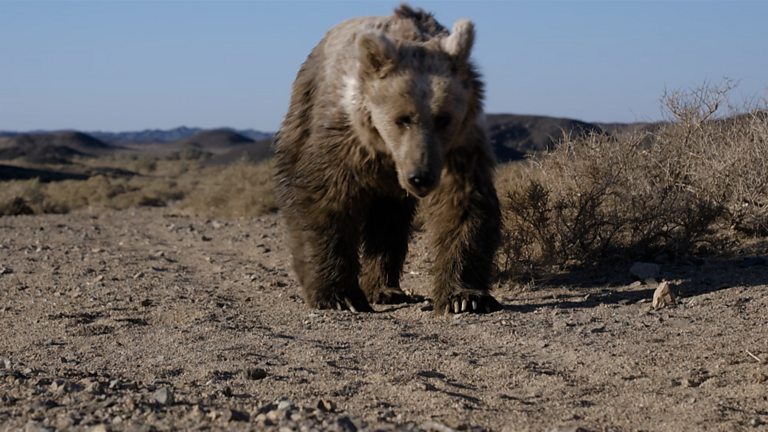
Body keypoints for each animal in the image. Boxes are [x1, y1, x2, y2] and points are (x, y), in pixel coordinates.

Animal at [273, 4, 502, 314]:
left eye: (442, 118)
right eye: (402, 118)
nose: (420, 177)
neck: (388, 151)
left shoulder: (459, 147)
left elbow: (464, 204)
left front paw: (465, 297)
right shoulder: (344, 139)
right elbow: (326, 201)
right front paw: (340, 295)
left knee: (389, 222)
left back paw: (386, 289)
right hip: (302, 111)